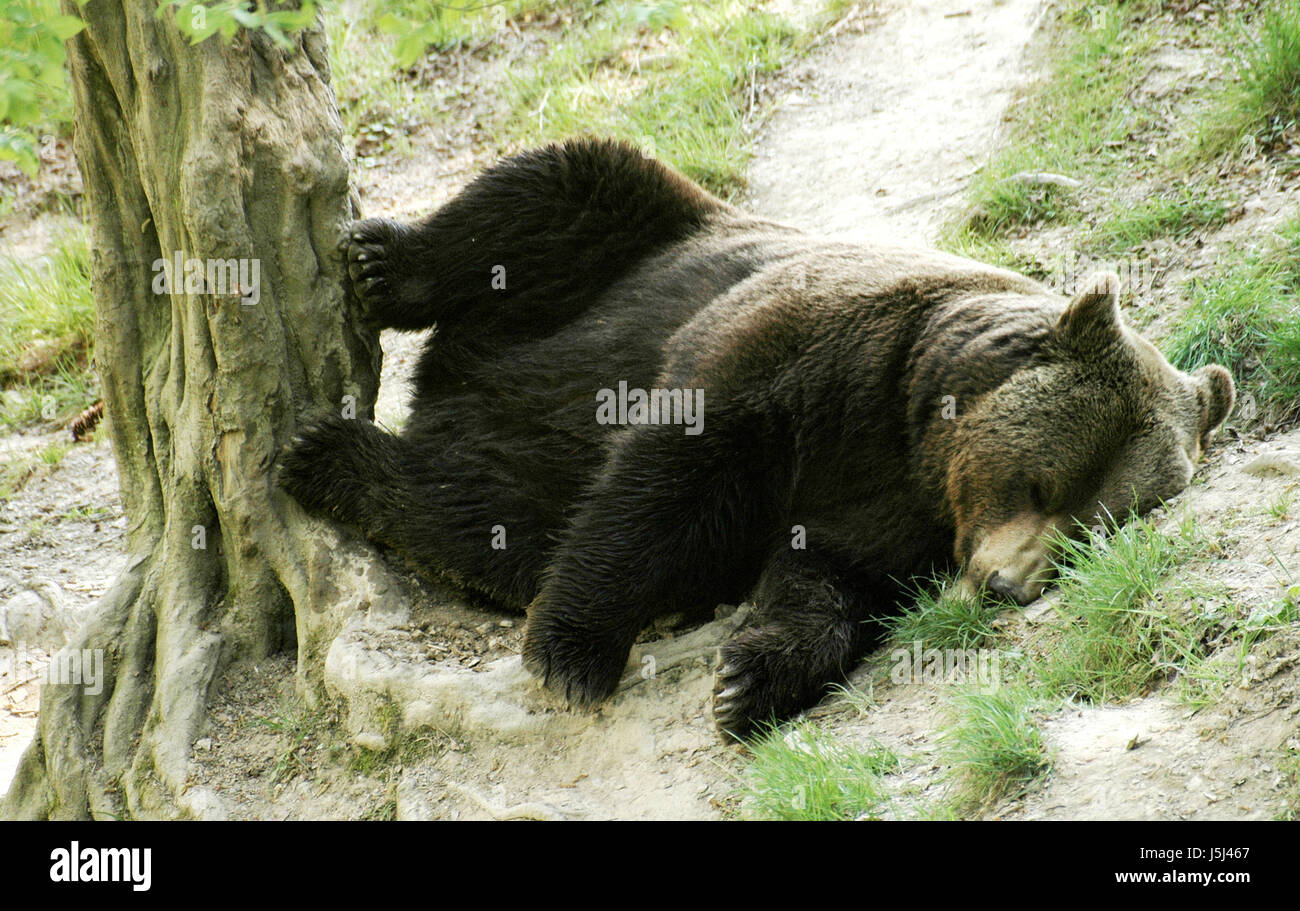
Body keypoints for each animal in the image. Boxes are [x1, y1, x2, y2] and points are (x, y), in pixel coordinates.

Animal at [278, 137, 1235, 740]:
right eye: (1040, 483)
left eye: (1092, 527)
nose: (1007, 582)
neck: (911, 428)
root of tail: (450, 382)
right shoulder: (808, 357)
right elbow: (670, 480)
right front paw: (571, 653)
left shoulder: (889, 510)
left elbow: (832, 582)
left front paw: (744, 684)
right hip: (638, 241)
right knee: (555, 189)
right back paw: (374, 282)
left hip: (527, 453)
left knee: (483, 515)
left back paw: (347, 460)